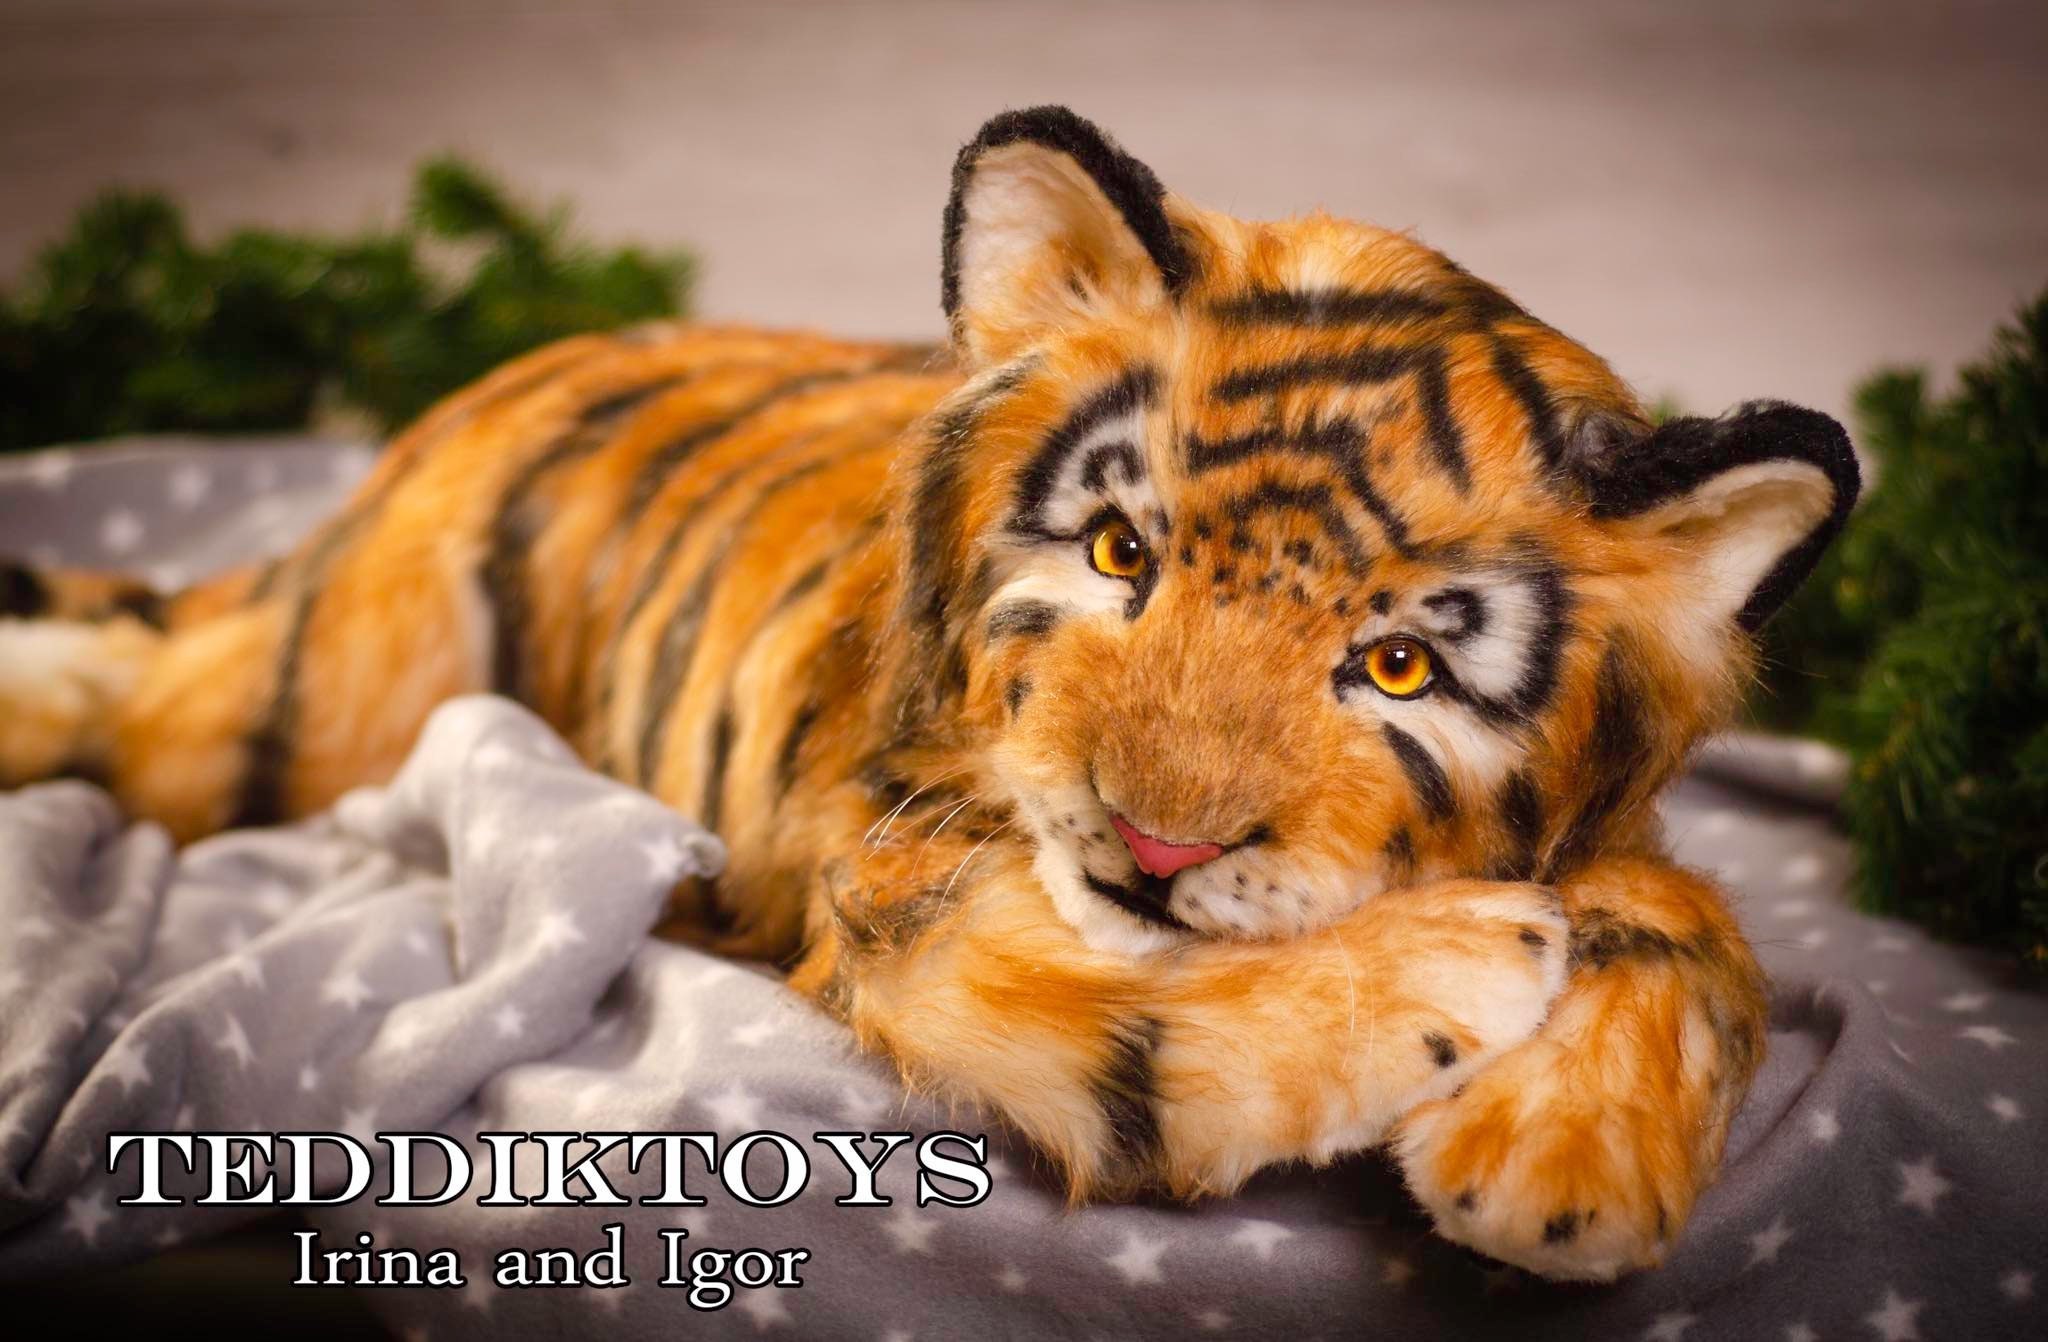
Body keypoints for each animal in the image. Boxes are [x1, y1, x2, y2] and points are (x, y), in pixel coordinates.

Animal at [0, 106, 1858, 1281]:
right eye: (1119, 550)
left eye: (1394, 663)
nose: (1153, 843)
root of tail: (443, 410)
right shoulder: (905, 879)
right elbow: (1145, 1006)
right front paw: (1472, 960)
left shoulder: (1621, 830)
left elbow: (1690, 920)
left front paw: (1567, 1162)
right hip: (306, 707)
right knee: (144, 697)